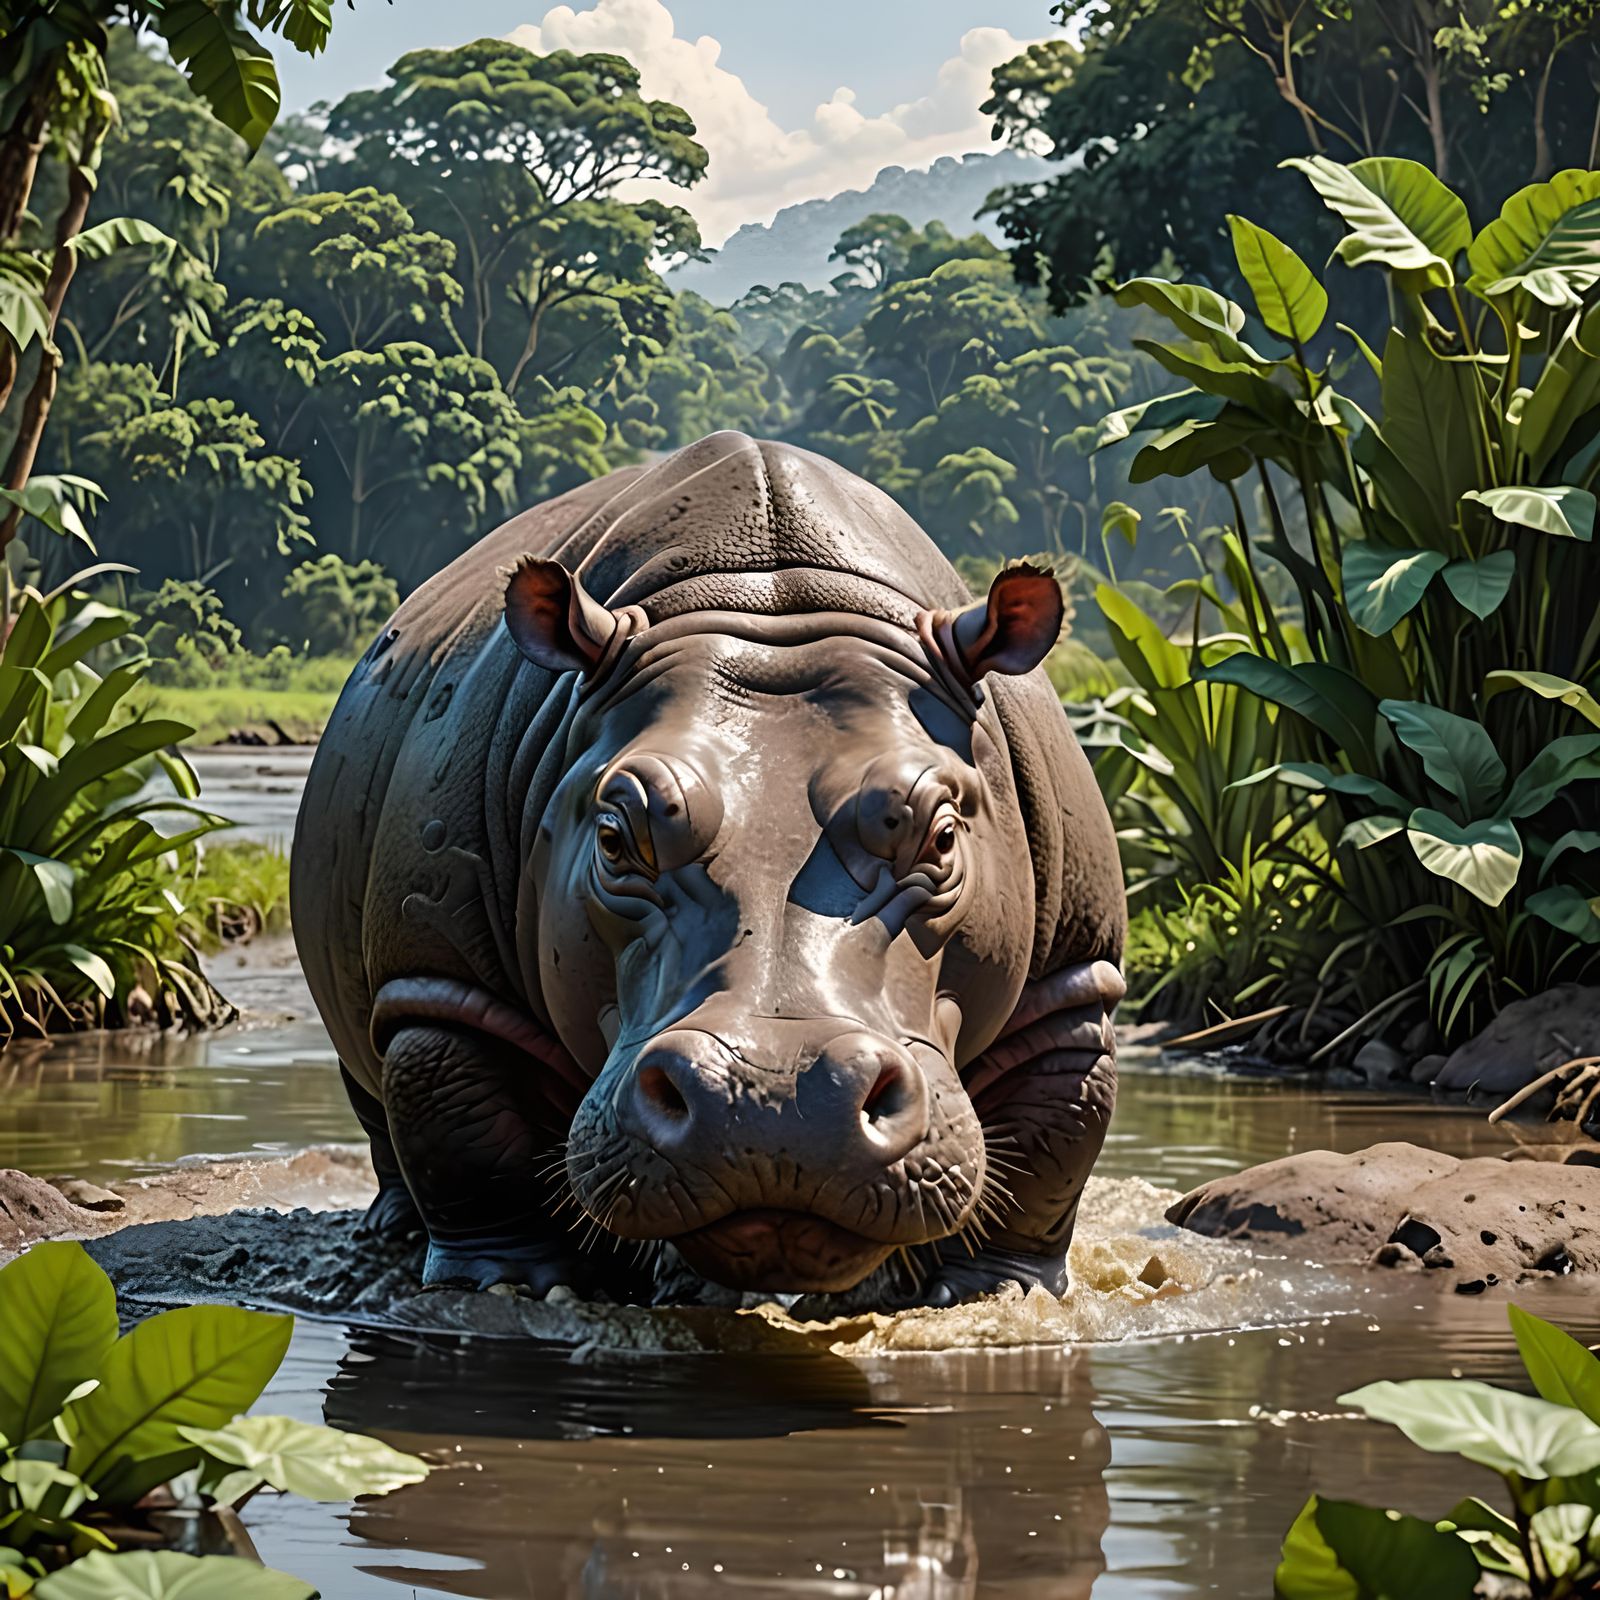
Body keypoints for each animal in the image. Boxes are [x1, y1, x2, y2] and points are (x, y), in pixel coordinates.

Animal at [291, 431, 1125, 1306]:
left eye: (940, 836)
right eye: (615, 837)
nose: (778, 1097)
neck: (773, 593)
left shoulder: (1070, 982)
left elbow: (1053, 1139)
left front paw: (998, 1294)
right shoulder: (440, 981)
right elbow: (467, 1132)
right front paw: (509, 1286)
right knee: (387, 1098)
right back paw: (391, 1230)